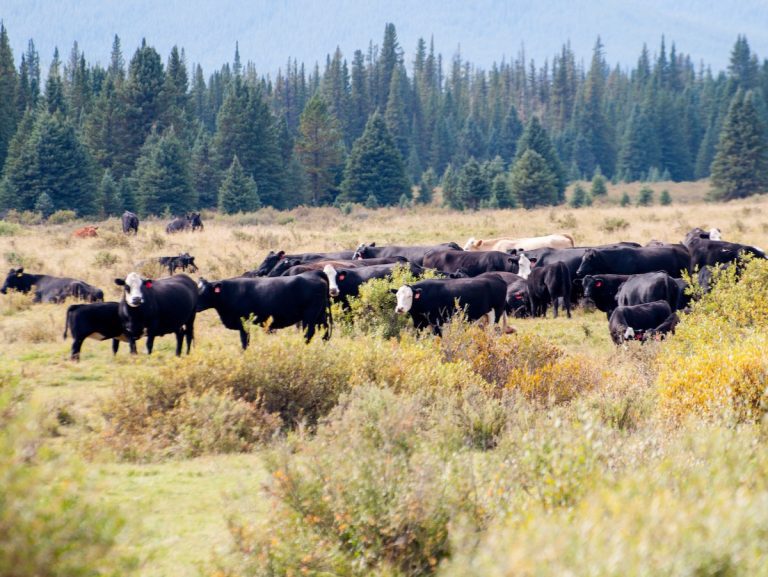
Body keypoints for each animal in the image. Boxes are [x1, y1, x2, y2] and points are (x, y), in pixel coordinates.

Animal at [197, 271, 332, 348]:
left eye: (204, 292)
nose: (194, 305)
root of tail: (313, 274)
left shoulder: (244, 323)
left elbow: (244, 341)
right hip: (321, 314)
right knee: (325, 331)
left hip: (310, 315)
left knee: (308, 334)